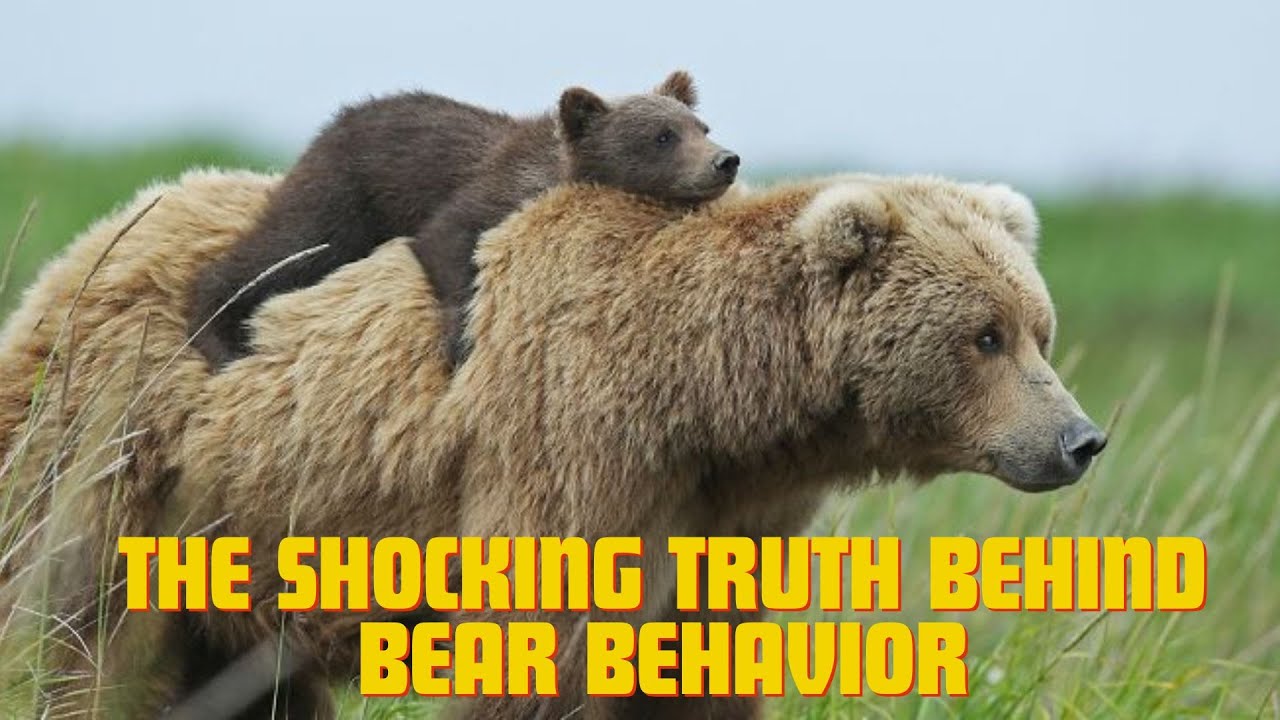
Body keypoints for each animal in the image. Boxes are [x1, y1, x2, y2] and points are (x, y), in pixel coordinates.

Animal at [0, 169, 1104, 718]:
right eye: (985, 335)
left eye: (1037, 327)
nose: (1079, 438)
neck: (708, 405)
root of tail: (99, 236)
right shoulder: (569, 442)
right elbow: (536, 650)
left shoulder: (725, 519)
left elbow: (693, 667)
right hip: (123, 455)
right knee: (83, 638)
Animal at [187, 70, 739, 371]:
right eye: (663, 136)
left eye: (702, 125)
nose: (725, 160)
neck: (554, 171)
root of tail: (334, 122)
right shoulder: (489, 192)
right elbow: (447, 239)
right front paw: (461, 338)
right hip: (344, 194)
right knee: (286, 249)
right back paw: (218, 335)